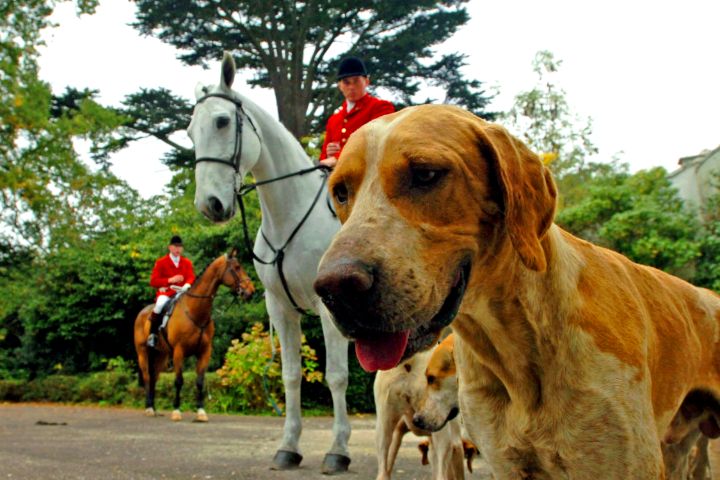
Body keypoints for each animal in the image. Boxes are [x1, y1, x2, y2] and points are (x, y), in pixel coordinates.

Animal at [134, 249, 255, 422]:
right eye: (237, 267)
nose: (251, 291)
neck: (195, 311)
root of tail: (142, 312)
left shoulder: (204, 351)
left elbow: (199, 381)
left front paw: (201, 412)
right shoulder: (179, 352)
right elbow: (178, 381)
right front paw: (176, 411)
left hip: (161, 356)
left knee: (154, 377)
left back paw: (154, 409)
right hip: (143, 353)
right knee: (147, 377)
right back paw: (149, 408)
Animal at [187, 52, 351, 474]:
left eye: (222, 121)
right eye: (191, 131)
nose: (209, 205)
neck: (291, 214)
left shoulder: (330, 310)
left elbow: (337, 377)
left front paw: (338, 451)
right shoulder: (279, 308)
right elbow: (291, 375)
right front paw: (288, 446)